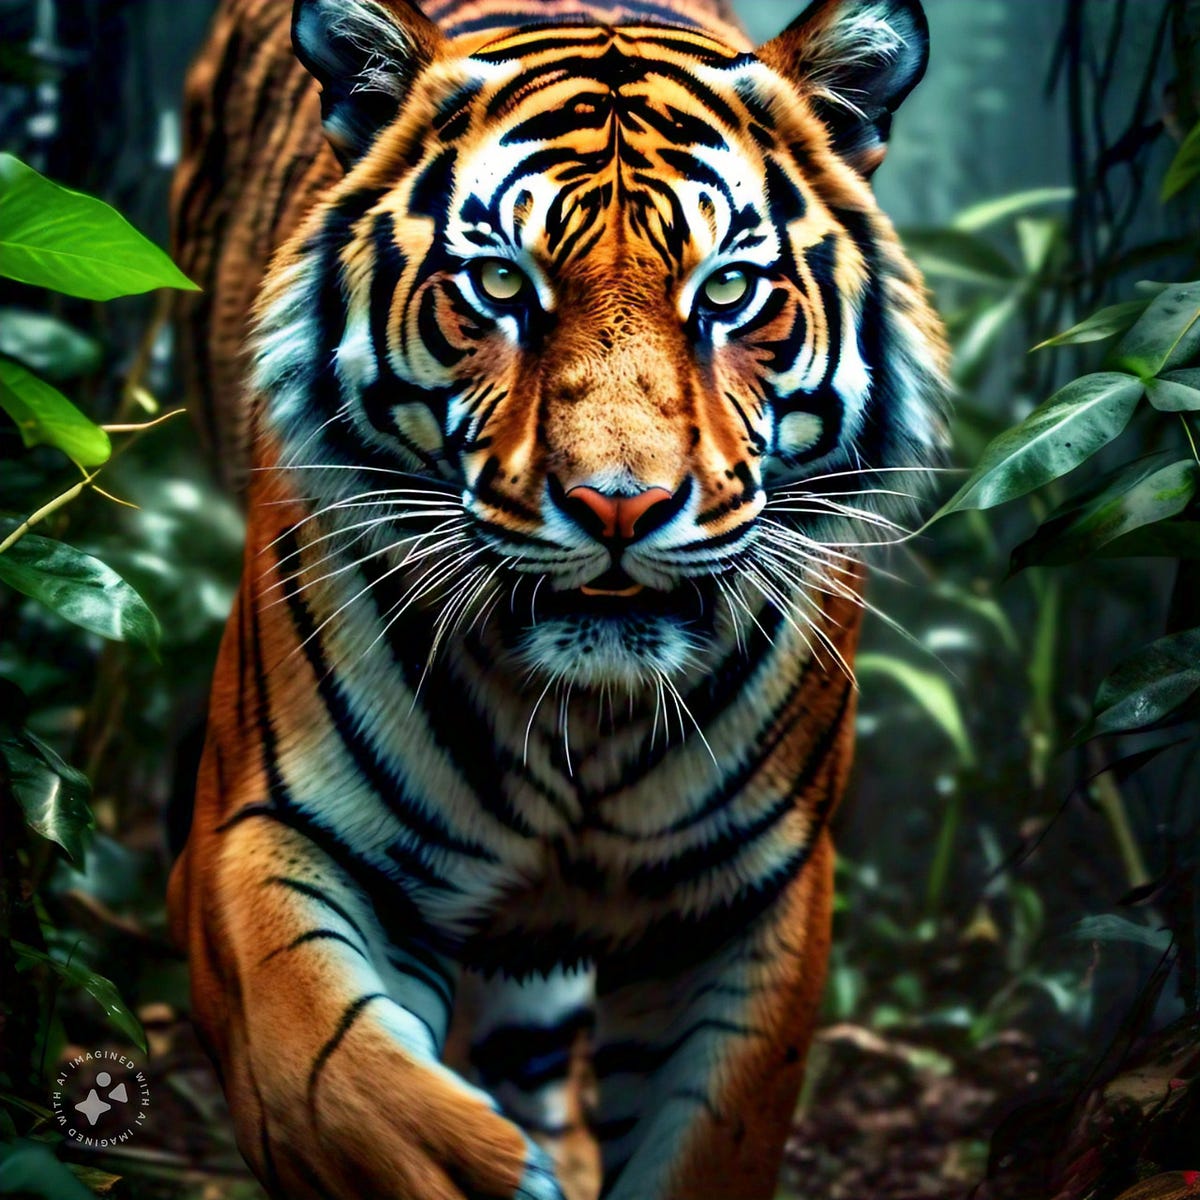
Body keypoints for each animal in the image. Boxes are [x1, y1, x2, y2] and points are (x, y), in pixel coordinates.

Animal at [167, 0, 948, 1198]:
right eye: (499, 287)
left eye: (727, 292)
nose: (618, 505)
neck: (589, 714)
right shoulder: (261, 829)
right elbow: (328, 1077)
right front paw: (482, 1165)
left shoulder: (748, 904)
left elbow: (706, 1145)